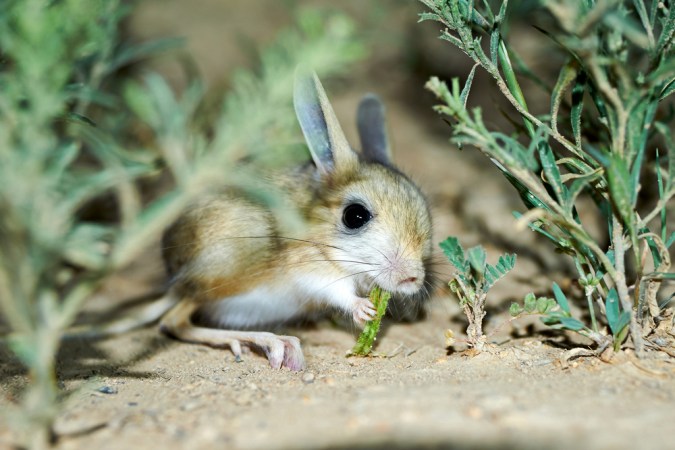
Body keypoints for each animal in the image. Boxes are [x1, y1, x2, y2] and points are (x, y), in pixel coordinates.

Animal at [159, 70, 434, 371]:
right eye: (355, 216)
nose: (412, 279)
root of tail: (174, 280)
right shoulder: (309, 266)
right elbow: (337, 290)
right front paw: (363, 308)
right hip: (226, 270)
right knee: (172, 322)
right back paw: (274, 342)